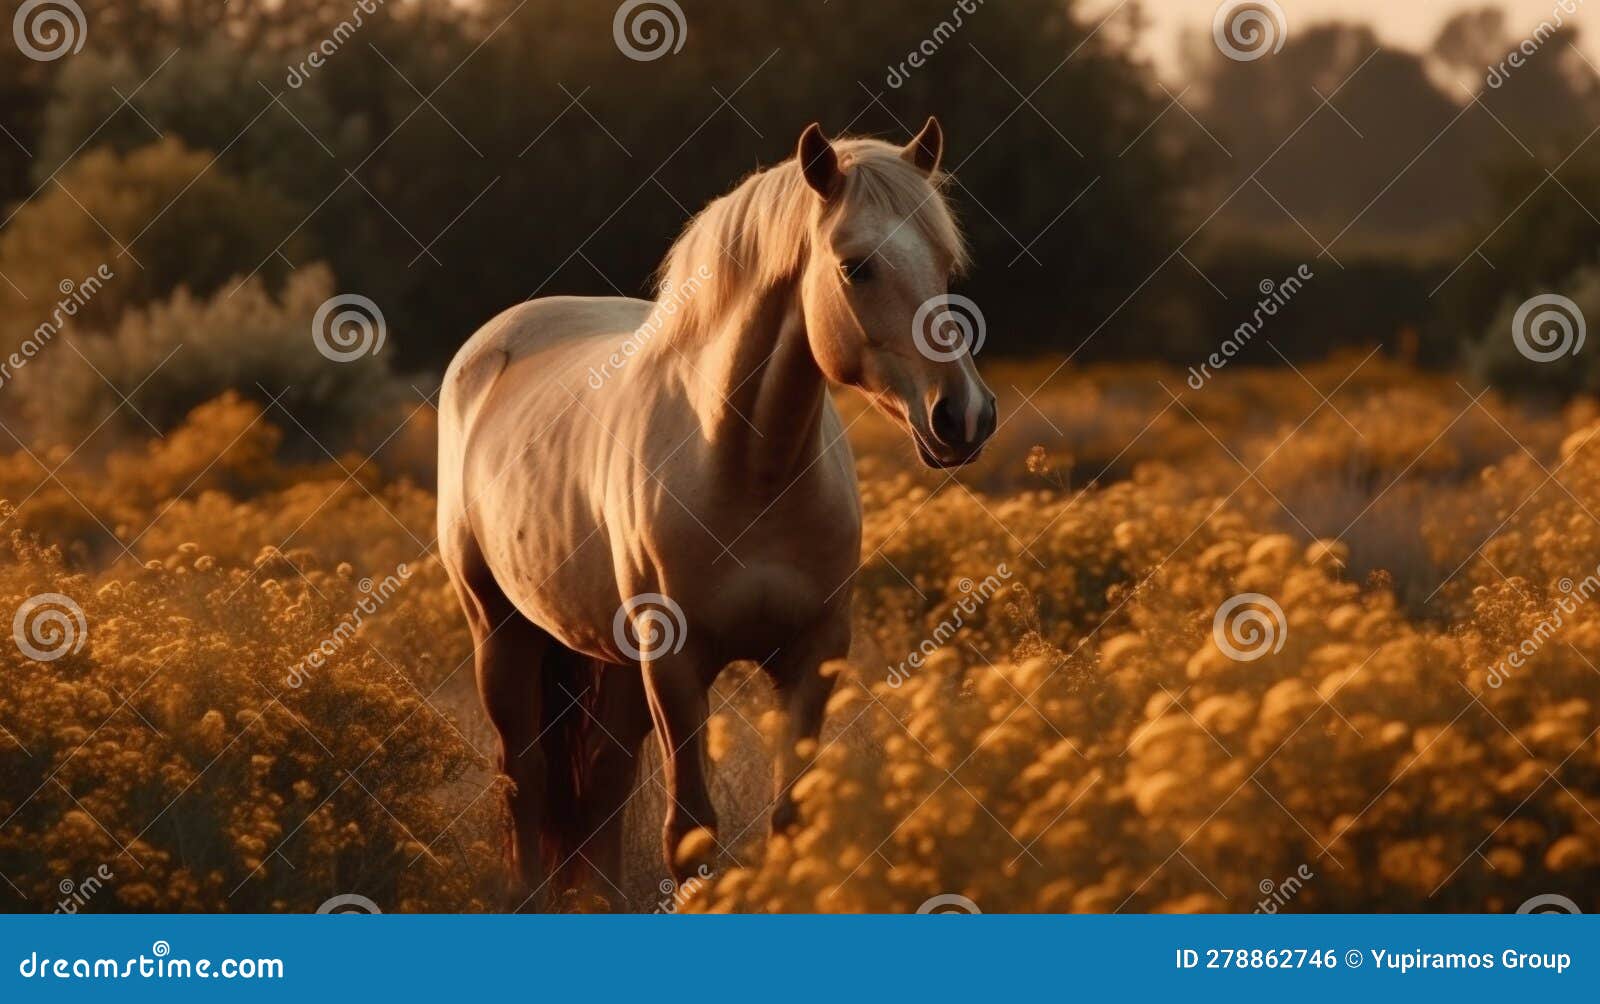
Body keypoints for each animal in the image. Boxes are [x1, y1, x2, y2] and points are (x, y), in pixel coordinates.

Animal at [437, 117, 997, 908]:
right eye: (856, 267)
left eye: (947, 267)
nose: (965, 416)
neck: (746, 469)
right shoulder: (675, 664)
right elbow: (690, 836)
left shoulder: (812, 654)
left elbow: (789, 817)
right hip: (500, 629)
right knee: (525, 776)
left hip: (610, 657)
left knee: (601, 784)